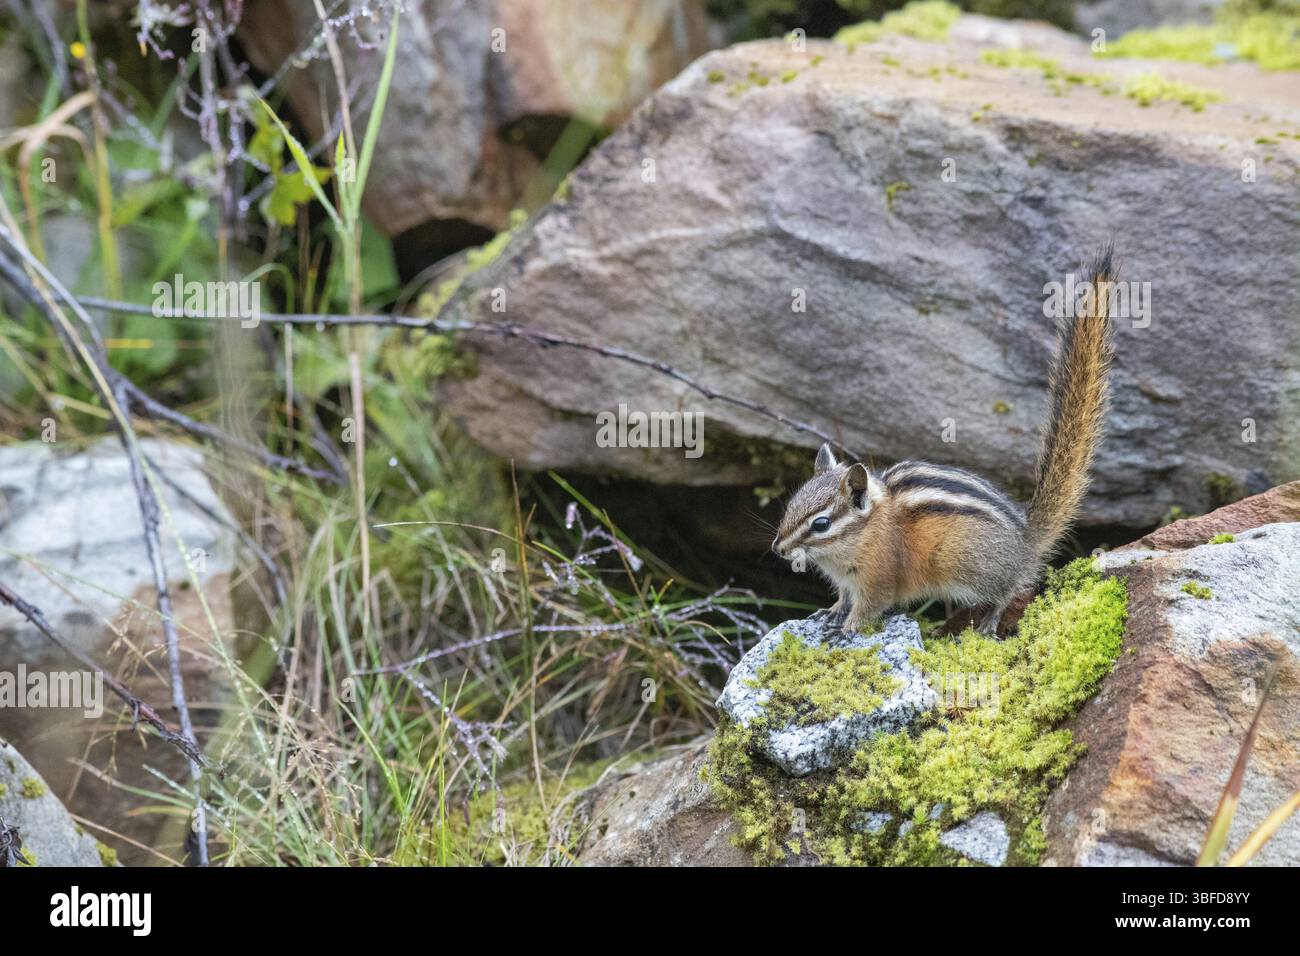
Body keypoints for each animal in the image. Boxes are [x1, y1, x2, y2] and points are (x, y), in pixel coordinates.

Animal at [772, 246, 1117, 636]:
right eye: (791, 505)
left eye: (821, 524)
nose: (778, 549)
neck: (866, 531)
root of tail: (1025, 540)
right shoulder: (846, 581)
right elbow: (843, 598)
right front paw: (829, 612)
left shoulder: (878, 578)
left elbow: (868, 607)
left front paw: (847, 630)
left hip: (966, 565)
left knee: (1013, 587)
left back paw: (989, 622)